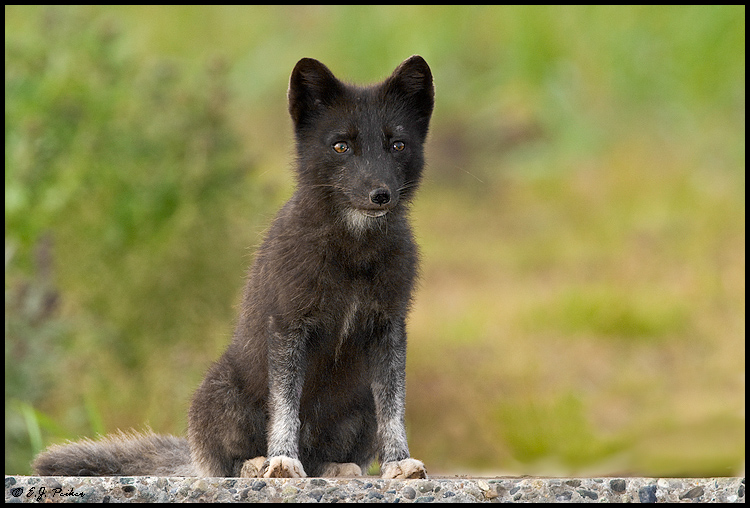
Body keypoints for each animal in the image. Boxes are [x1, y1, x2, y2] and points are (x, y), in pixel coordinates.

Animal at [32, 55, 434, 479]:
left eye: (397, 145)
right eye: (341, 146)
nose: (380, 194)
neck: (353, 257)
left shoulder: (389, 326)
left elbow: (394, 408)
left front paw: (399, 462)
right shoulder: (288, 325)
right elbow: (285, 408)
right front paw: (281, 460)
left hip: (359, 408)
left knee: (329, 455)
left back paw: (338, 468)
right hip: (220, 391)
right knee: (226, 462)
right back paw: (256, 465)